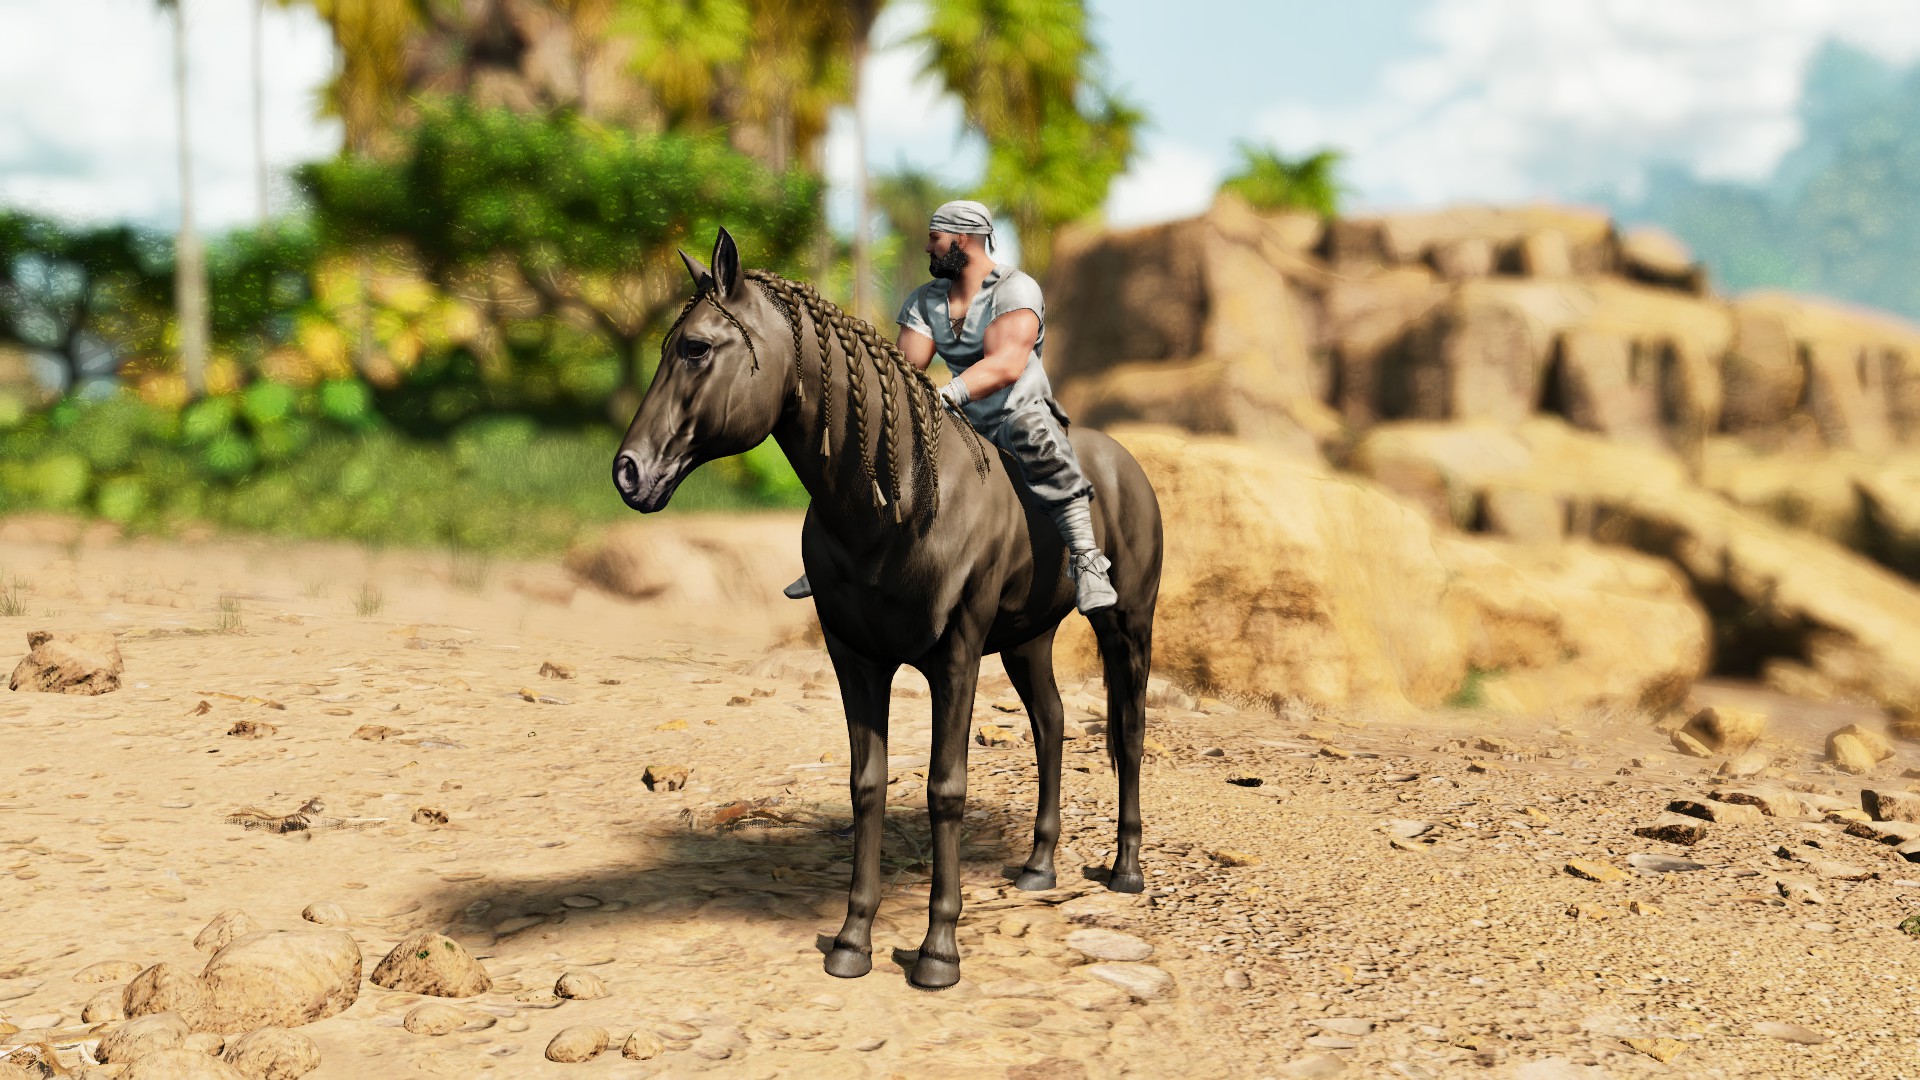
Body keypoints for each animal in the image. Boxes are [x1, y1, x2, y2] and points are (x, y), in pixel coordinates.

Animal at [612, 227, 1163, 990]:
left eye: (695, 348)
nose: (628, 472)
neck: (894, 505)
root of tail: (1124, 465)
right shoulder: (856, 658)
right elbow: (866, 784)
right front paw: (851, 942)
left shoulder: (955, 657)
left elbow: (945, 789)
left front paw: (938, 953)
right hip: (1028, 640)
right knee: (1051, 723)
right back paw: (1037, 867)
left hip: (1126, 625)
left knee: (1129, 732)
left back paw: (1126, 872)